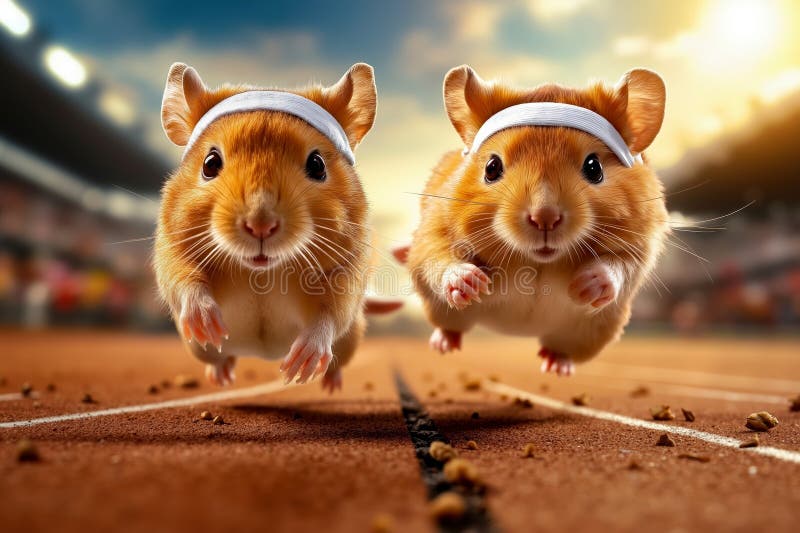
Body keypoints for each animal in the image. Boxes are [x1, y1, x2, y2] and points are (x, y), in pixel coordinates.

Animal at [155, 62, 398, 392]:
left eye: (318, 165)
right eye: (210, 164)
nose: (261, 225)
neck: (261, 272)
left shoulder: (350, 265)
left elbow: (333, 310)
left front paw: (301, 364)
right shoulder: (169, 244)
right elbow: (181, 276)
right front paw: (205, 320)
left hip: (352, 339)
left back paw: (330, 381)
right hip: (197, 347)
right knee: (216, 354)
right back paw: (221, 372)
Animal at [398, 66, 669, 376]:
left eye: (594, 167)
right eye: (491, 167)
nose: (544, 218)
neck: (538, 262)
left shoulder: (642, 242)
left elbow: (620, 265)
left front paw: (585, 287)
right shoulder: (434, 228)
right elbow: (437, 256)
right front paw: (470, 282)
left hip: (591, 332)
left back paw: (556, 364)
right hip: (444, 312)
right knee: (450, 324)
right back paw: (443, 343)